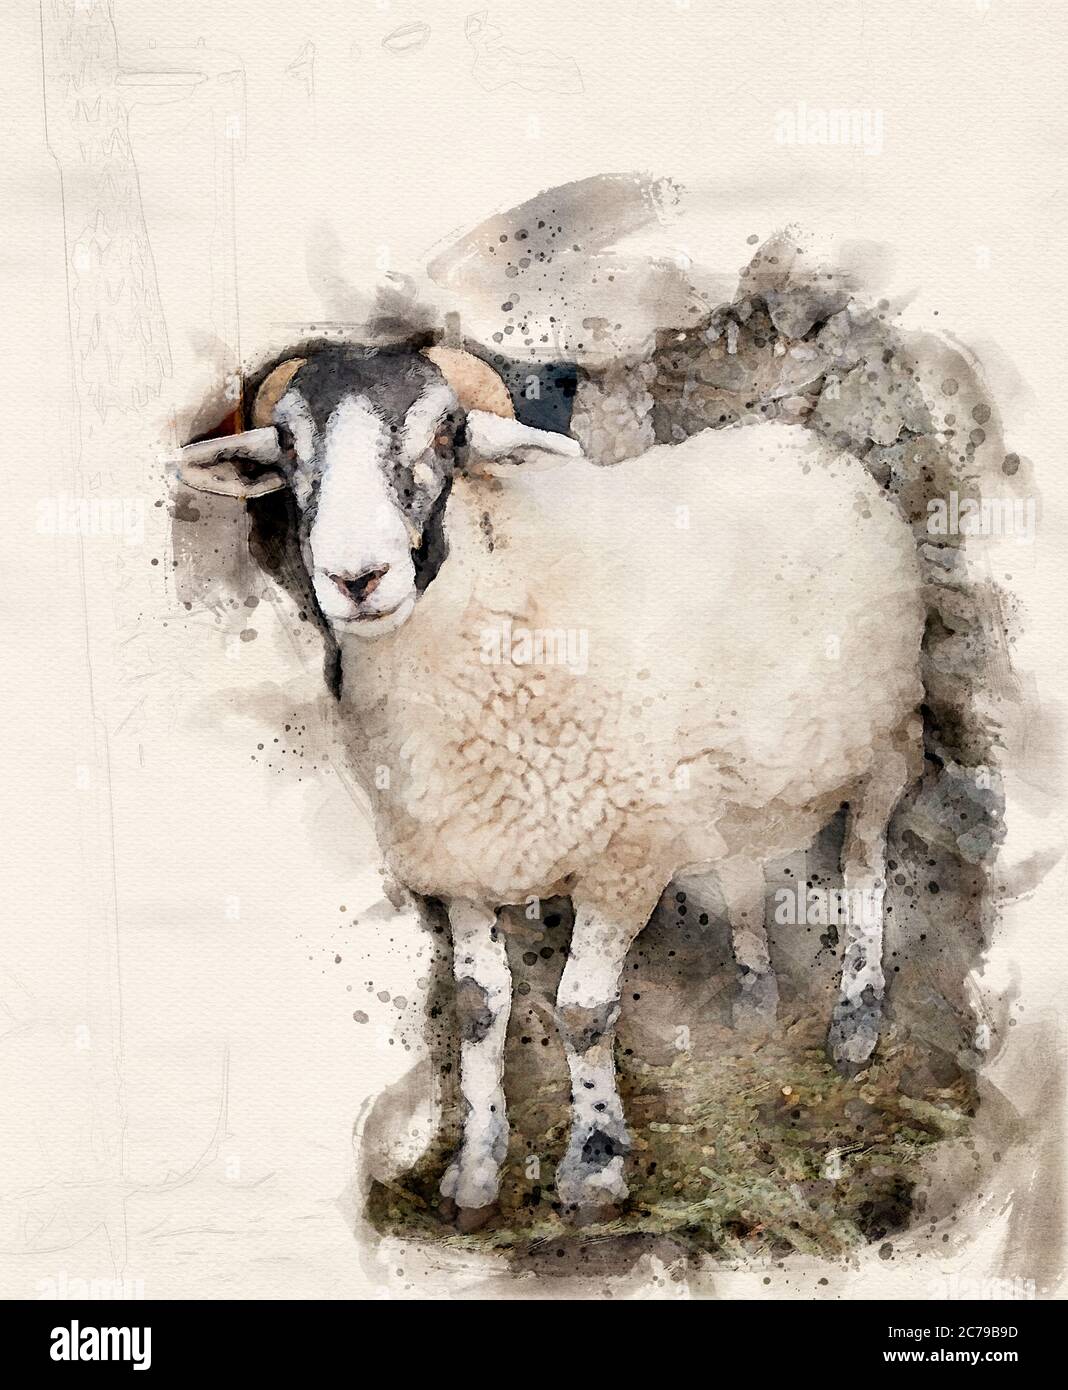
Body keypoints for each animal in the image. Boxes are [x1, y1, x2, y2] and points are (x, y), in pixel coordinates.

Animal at [174, 342, 925, 1226]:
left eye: (447, 435)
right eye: (290, 447)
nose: (357, 578)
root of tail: (802, 438)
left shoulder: (623, 857)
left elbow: (582, 1012)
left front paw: (596, 1162)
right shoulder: (460, 857)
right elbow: (478, 1006)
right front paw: (475, 1165)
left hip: (888, 737)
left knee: (863, 863)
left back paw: (856, 1014)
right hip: (719, 780)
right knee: (740, 869)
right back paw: (753, 989)